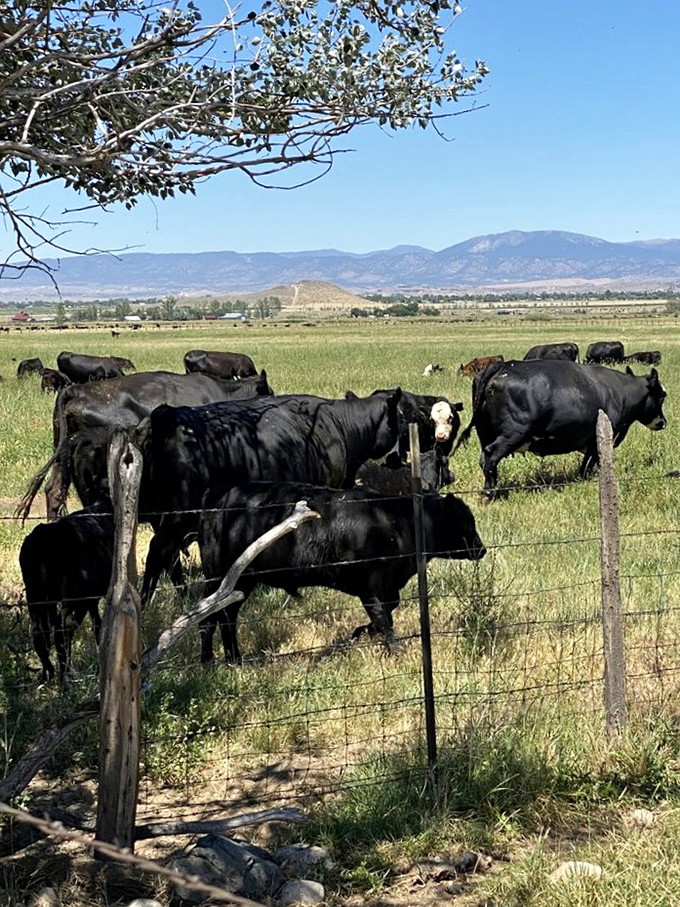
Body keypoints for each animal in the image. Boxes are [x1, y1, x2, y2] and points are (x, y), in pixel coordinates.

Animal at [19, 499, 113, 682]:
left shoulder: (92, 598)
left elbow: (97, 625)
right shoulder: (86, 597)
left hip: (35, 594)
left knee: (40, 633)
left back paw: (48, 672)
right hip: (71, 595)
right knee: (62, 629)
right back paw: (65, 676)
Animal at [135, 390, 405, 605]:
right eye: (400, 419)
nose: (400, 459)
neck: (338, 425)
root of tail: (167, 415)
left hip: (162, 517)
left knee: (169, 558)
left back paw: (180, 596)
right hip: (177, 516)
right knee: (158, 551)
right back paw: (146, 602)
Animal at [198, 482, 486, 663]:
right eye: (466, 521)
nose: (481, 549)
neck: (396, 521)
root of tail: (217, 496)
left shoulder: (388, 586)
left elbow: (388, 611)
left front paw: (363, 632)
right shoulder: (370, 586)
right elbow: (382, 616)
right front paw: (393, 649)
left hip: (242, 582)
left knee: (228, 617)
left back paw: (234, 659)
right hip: (218, 578)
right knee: (208, 618)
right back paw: (208, 662)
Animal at [455, 359, 667, 494]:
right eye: (662, 396)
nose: (663, 422)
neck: (620, 392)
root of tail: (503, 365)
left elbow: (585, 466)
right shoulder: (601, 440)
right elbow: (592, 463)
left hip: (485, 432)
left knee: (485, 459)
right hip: (513, 433)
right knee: (491, 456)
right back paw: (489, 493)